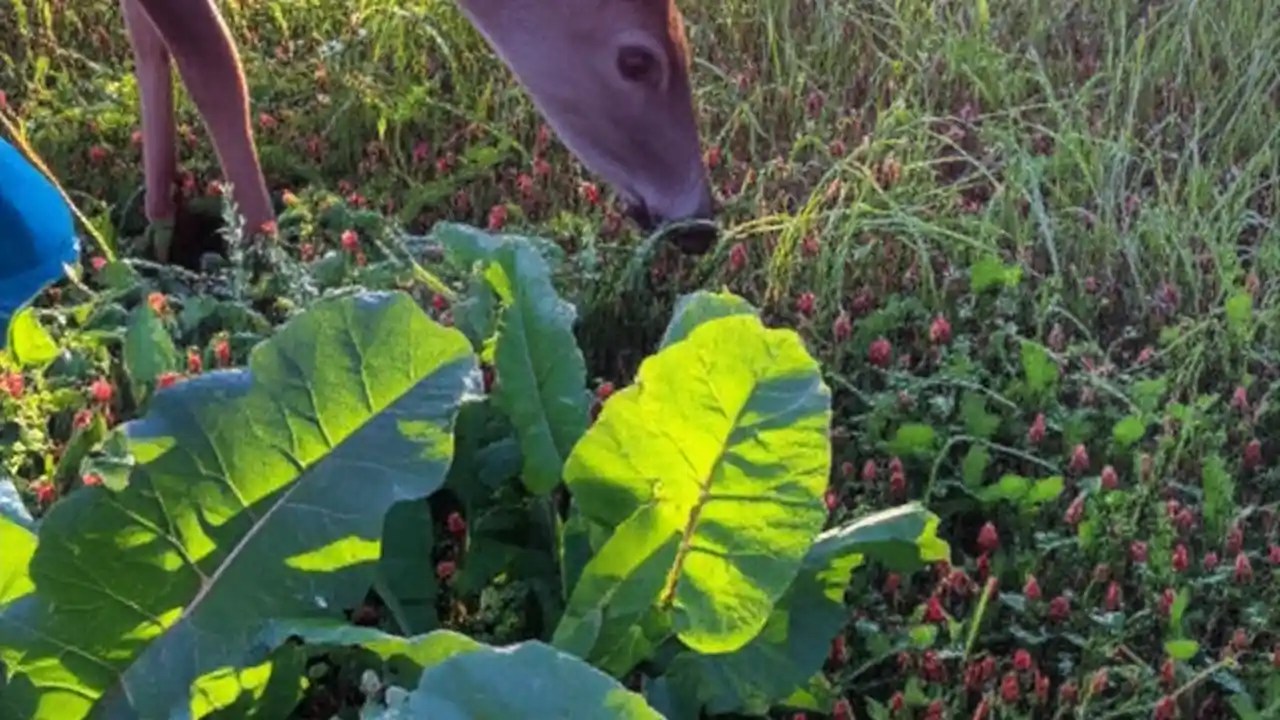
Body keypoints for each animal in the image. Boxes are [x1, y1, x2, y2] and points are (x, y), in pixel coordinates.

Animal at [117, 0, 720, 259]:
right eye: (636, 62)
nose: (701, 225)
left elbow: (148, 38)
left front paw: (160, 218)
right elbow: (214, 63)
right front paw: (273, 268)